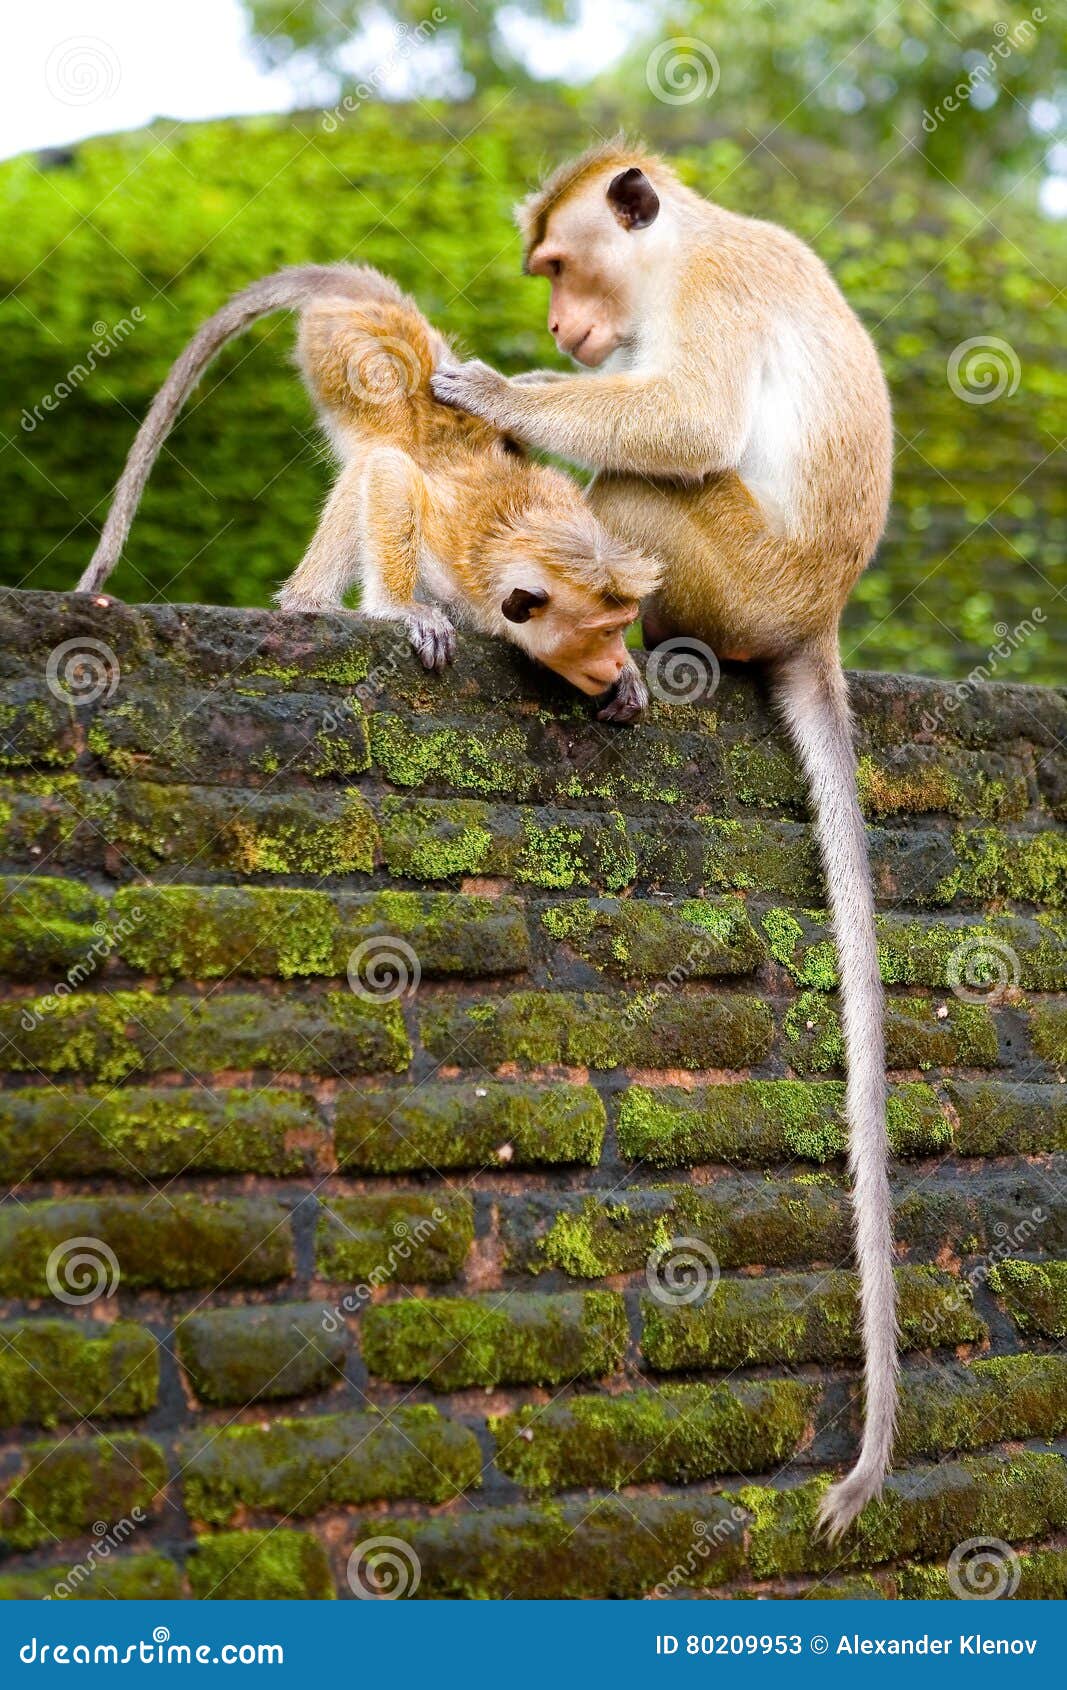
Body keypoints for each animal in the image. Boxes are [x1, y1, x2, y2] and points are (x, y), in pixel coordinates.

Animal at [76, 264, 660, 719]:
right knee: (376, 451)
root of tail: (368, 293)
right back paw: (309, 603)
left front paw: (630, 674)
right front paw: (399, 609)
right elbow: (388, 474)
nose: (614, 659)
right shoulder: (456, 561)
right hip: (349, 346)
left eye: (620, 629)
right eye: (601, 633)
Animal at [431, 142, 896, 1539]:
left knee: (650, 478)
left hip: (736, 578)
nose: (554, 333)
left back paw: (627, 651)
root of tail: (818, 618)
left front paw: (500, 392)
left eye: (555, 264)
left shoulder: (708, 297)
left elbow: (684, 423)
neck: (678, 245)